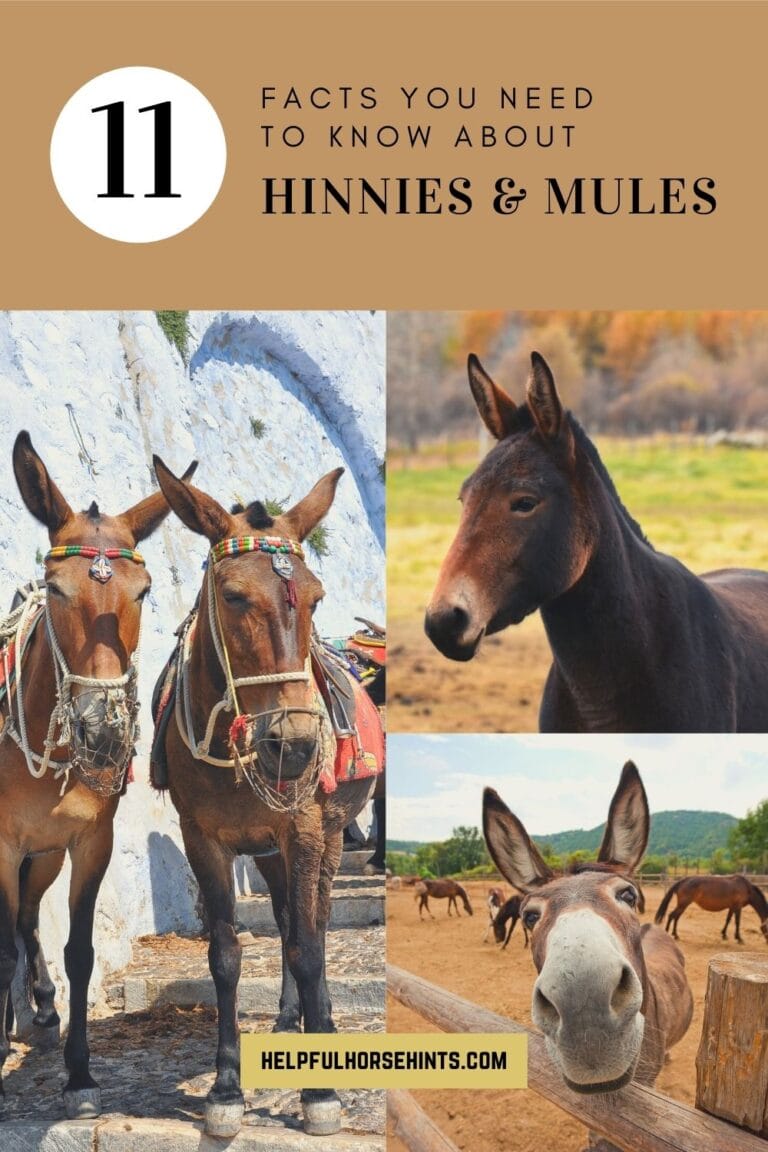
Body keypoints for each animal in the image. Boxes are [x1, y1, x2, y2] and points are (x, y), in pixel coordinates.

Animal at [0, 433, 190, 1120]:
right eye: (54, 589)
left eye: (144, 590)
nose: (101, 730)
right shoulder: (2, 846)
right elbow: (0, 948)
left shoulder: (89, 843)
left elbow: (78, 953)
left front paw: (79, 1074)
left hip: (46, 857)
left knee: (30, 917)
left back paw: (41, 1005)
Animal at [151, 457, 382, 1139]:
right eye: (233, 597)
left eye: (316, 597)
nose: (296, 744)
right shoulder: (204, 839)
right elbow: (226, 957)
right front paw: (226, 1088)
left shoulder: (303, 831)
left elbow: (309, 948)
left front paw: (320, 1091)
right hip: (273, 854)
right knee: (283, 919)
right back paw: (287, 1018)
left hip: (324, 839)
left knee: (316, 926)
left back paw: (321, 1019)